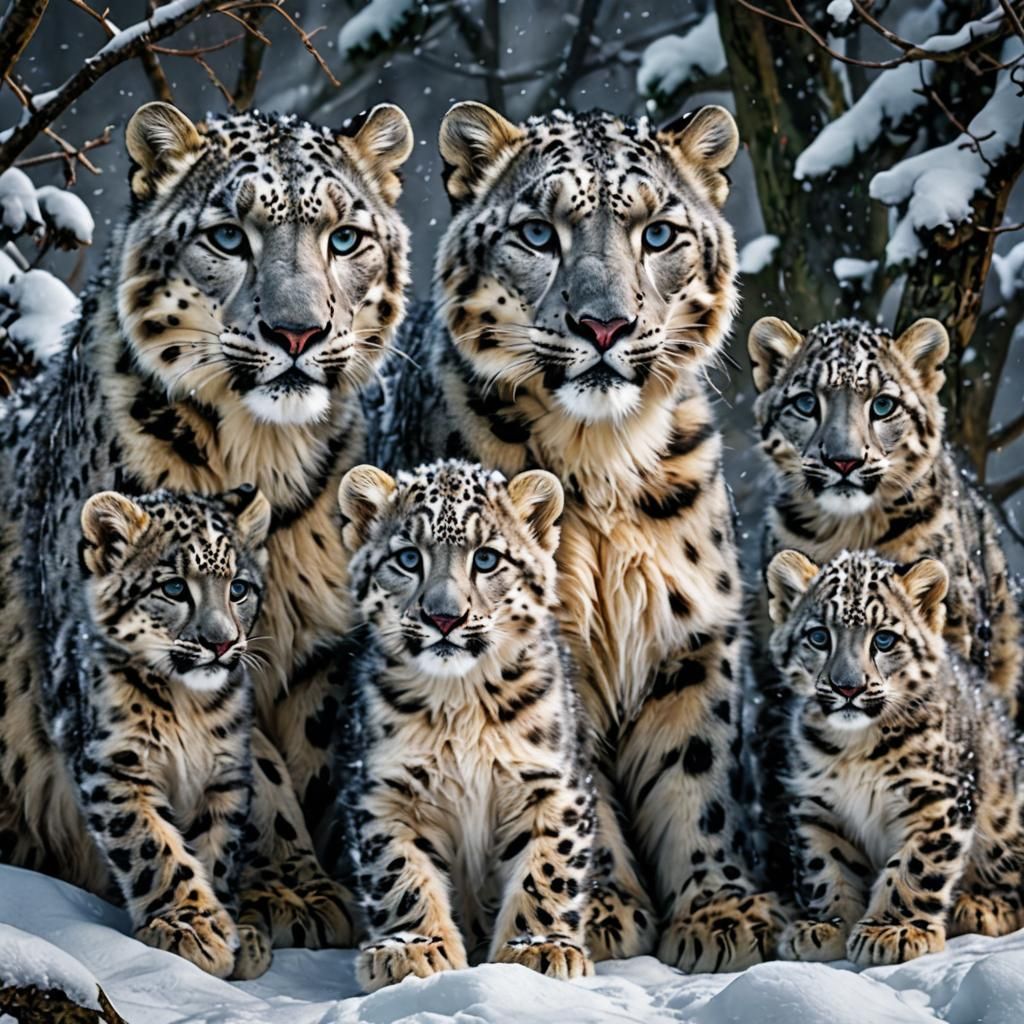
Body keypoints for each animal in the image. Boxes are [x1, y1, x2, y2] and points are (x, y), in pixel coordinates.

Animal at [0, 485, 270, 978]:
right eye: (174, 587)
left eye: (238, 588)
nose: (221, 642)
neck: (188, 707)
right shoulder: (116, 764)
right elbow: (153, 844)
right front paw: (193, 928)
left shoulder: (225, 773)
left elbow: (217, 847)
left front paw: (232, 930)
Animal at [337, 459, 596, 990]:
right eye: (408, 557)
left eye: (487, 558)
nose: (444, 617)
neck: (462, 701)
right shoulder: (386, 790)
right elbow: (400, 872)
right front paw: (413, 949)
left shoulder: (550, 784)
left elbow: (547, 868)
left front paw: (539, 948)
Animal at [365, 102, 783, 972]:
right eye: (537, 232)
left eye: (658, 233)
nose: (604, 324)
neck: (603, 464)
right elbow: (577, 789)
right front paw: (604, 913)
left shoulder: (689, 639)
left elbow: (699, 777)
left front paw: (721, 912)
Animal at [766, 548, 1024, 966]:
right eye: (819, 636)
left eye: (884, 639)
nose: (848, 687)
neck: (855, 748)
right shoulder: (818, 803)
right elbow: (827, 865)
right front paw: (827, 926)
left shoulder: (936, 798)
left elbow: (915, 866)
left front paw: (892, 931)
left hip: (1003, 821)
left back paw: (978, 907)